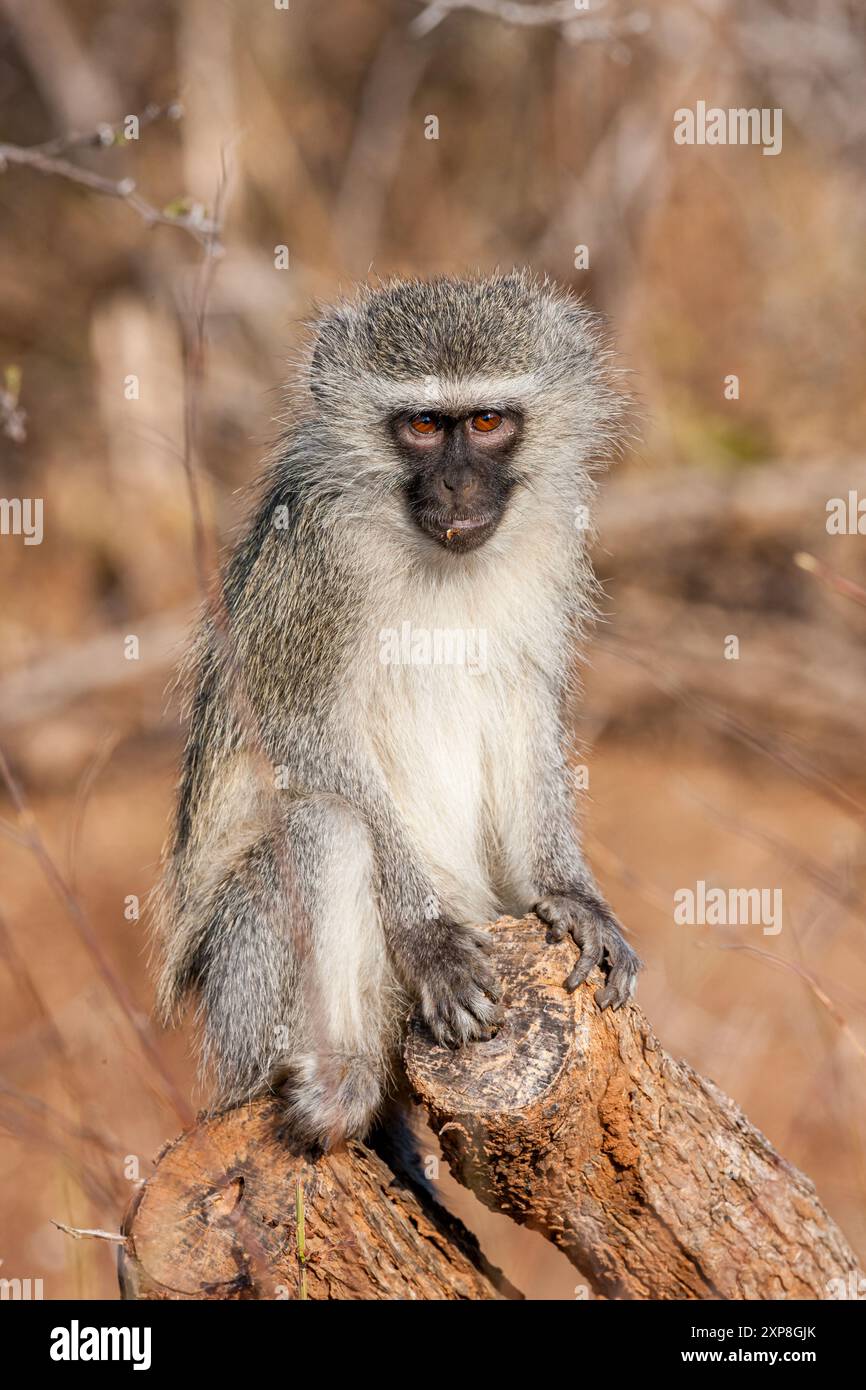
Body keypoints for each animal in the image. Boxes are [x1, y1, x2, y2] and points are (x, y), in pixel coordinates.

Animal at [152, 269, 642, 1152]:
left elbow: (525, 712)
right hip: (243, 1001)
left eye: (485, 422)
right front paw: (428, 937)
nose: (455, 485)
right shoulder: (316, 558)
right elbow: (299, 728)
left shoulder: (550, 545)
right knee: (327, 826)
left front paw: (571, 896)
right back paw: (339, 1081)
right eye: (420, 425)